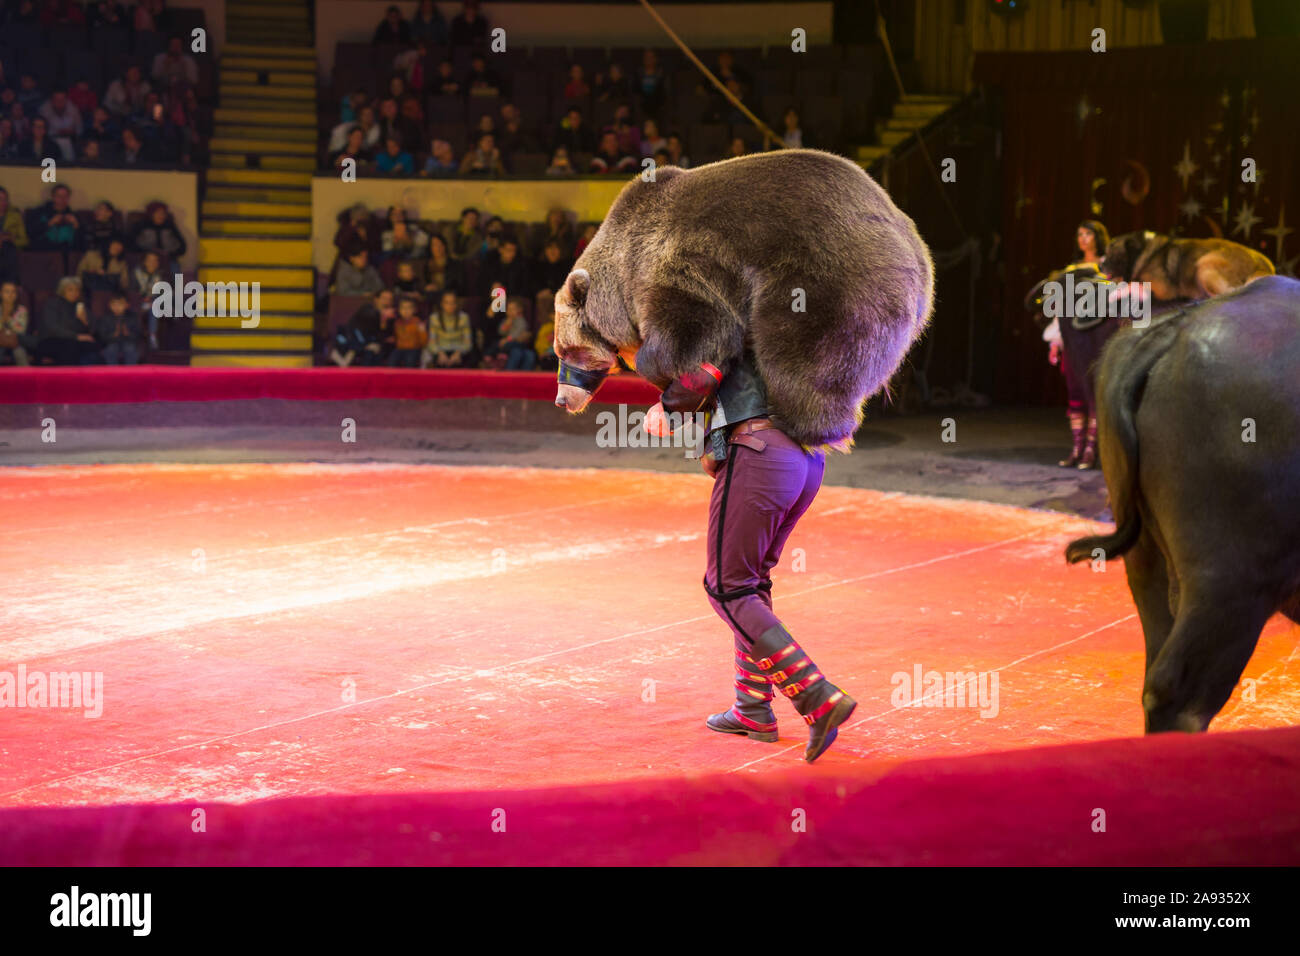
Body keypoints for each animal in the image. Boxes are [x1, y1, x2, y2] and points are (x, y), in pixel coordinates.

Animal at [553, 148, 934, 449]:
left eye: (567, 350)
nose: (561, 399)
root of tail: (917, 247)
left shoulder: (679, 270)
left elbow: (694, 333)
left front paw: (661, 376)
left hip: (833, 278)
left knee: (805, 355)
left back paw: (804, 424)